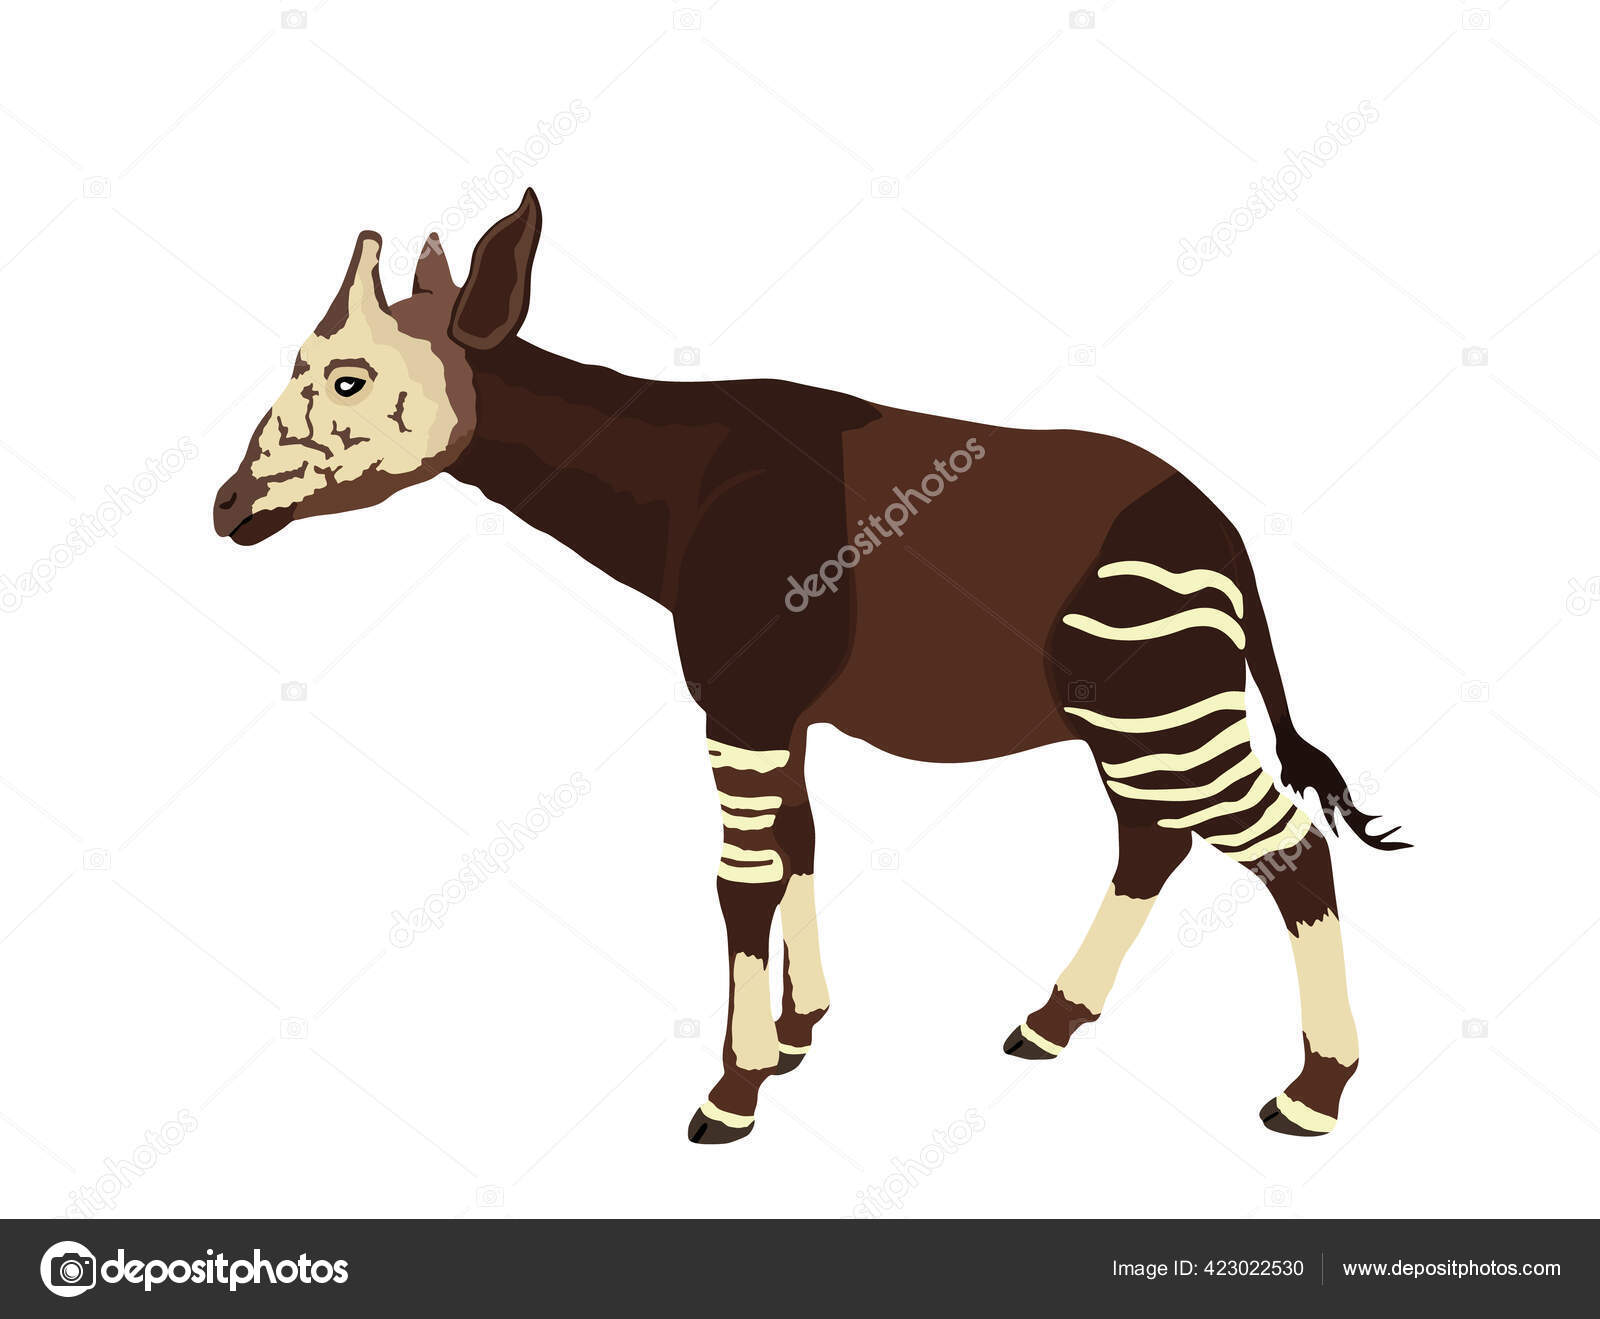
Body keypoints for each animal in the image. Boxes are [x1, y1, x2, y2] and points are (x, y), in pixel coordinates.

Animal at [214, 190, 1406, 1145]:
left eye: (349, 379)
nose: (225, 507)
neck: (679, 492)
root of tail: (1226, 538)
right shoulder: (777, 710)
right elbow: (797, 844)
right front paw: (797, 1033)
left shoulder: (742, 698)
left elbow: (739, 877)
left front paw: (731, 1091)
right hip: (1133, 716)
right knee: (1155, 841)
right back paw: (1048, 1021)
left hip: (1160, 707)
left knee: (1283, 848)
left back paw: (1311, 1094)